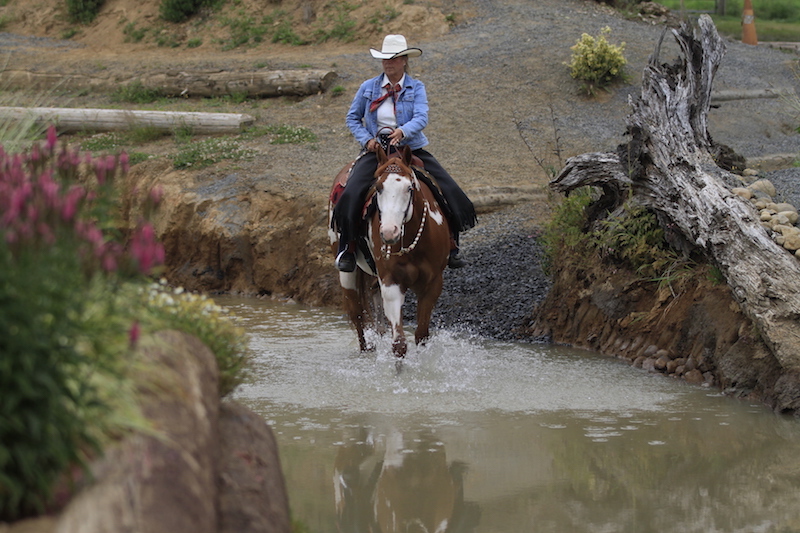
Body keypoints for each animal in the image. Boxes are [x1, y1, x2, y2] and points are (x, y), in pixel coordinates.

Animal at [328, 144, 451, 357]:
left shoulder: (433, 284)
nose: (388, 232)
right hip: (347, 273)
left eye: (409, 187)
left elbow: (421, 335)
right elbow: (399, 344)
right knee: (357, 315)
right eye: (378, 188)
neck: (412, 243)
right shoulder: (391, 282)